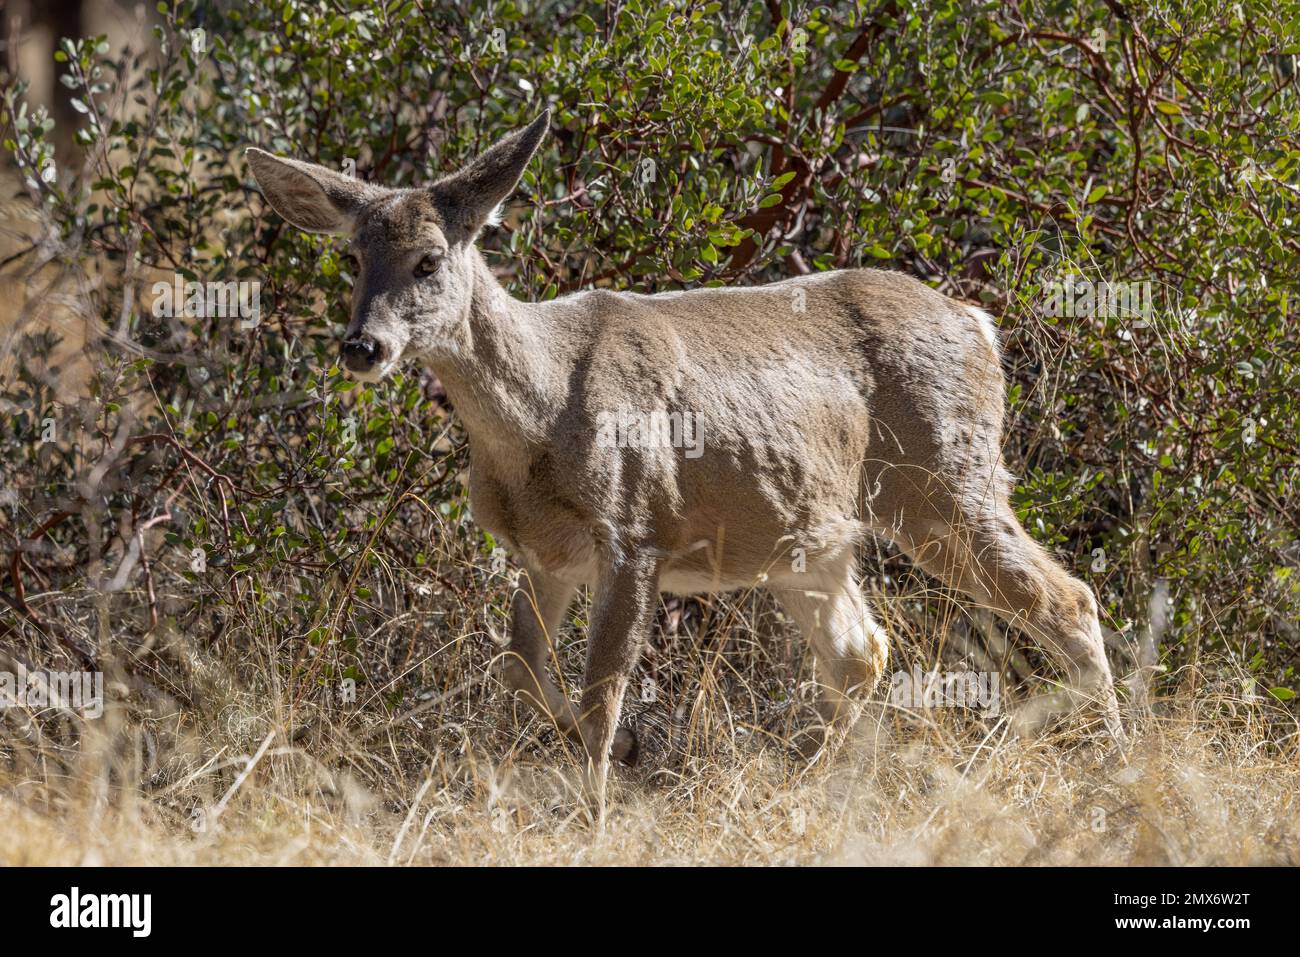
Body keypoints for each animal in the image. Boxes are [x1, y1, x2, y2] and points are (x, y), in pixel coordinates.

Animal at [246, 110, 1124, 824]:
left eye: (429, 260)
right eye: (354, 255)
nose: (362, 345)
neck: (538, 419)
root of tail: (980, 324)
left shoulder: (635, 529)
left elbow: (602, 690)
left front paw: (595, 805)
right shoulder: (541, 555)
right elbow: (526, 676)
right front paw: (602, 753)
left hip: (946, 478)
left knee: (1067, 597)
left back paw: (1113, 761)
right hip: (807, 538)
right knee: (862, 650)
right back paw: (836, 790)